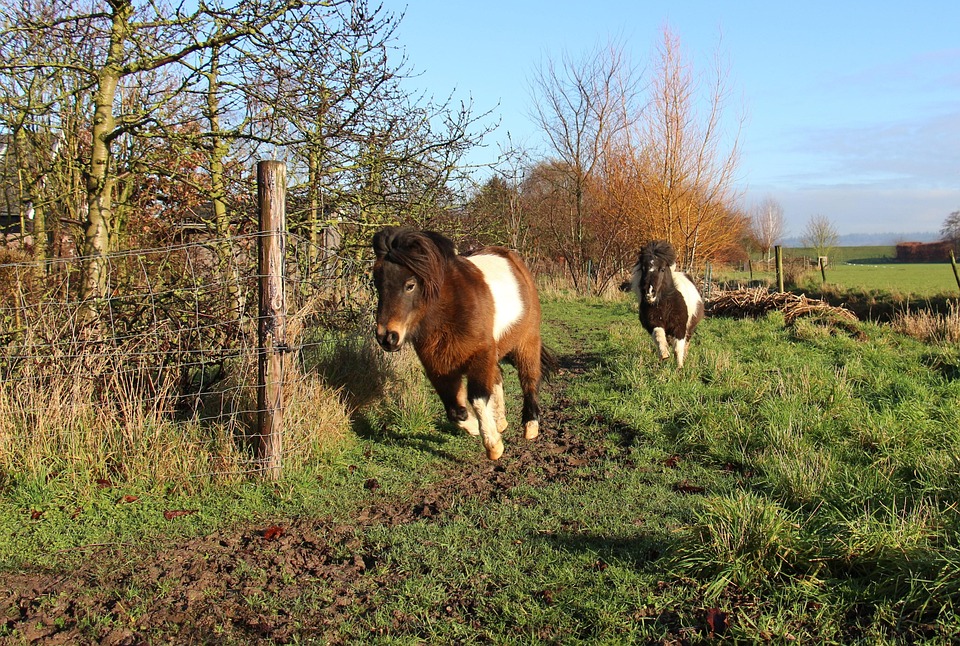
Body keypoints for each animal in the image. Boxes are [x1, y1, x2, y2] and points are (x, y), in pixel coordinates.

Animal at [372, 226, 555, 460]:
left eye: (410, 285)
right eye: (377, 284)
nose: (387, 337)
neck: (451, 310)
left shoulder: (479, 356)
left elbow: (477, 398)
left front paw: (493, 445)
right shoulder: (439, 367)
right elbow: (454, 411)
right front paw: (477, 428)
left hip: (526, 342)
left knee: (529, 378)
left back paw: (530, 426)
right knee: (497, 378)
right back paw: (500, 422)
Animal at [625, 240, 704, 368]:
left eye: (662, 269)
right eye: (643, 268)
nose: (649, 292)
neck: (666, 305)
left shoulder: (680, 327)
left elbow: (678, 348)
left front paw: (679, 367)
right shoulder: (653, 323)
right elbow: (659, 337)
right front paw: (664, 355)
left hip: (691, 327)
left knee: (686, 343)